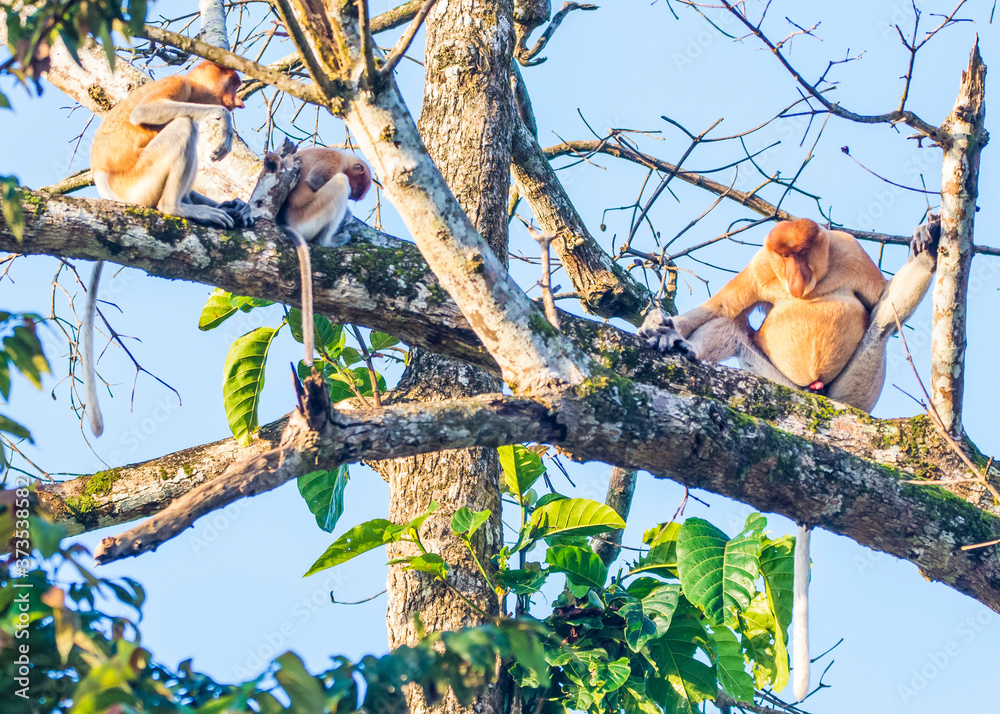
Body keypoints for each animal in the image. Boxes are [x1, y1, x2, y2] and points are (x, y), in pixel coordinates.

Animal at [83, 61, 250, 437]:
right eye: (233, 82)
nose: (239, 99)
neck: (192, 84)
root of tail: (110, 193)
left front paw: (235, 206)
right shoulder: (176, 86)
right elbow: (145, 112)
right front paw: (223, 125)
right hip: (141, 184)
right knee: (184, 125)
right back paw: (179, 208)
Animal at [273, 147, 372, 366]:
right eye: (355, 189)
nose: (352, 196)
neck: (342, 157)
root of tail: (284, 222)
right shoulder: (332, 161)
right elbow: (315, 182)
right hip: (309, 215)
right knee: (341, 181)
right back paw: (328, 241)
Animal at [639, 215, 940, 701]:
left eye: (802, 255)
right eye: (784, 258)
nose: (796, 279)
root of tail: (813, 393)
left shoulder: (849, 250)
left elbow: (881, 305)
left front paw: (927, 245)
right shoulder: (760, 267)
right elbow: (720, 307)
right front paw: (663, 330)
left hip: (851, 394)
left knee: (879, 327)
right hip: (776, 380)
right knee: (733, 326)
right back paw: (685, 348)